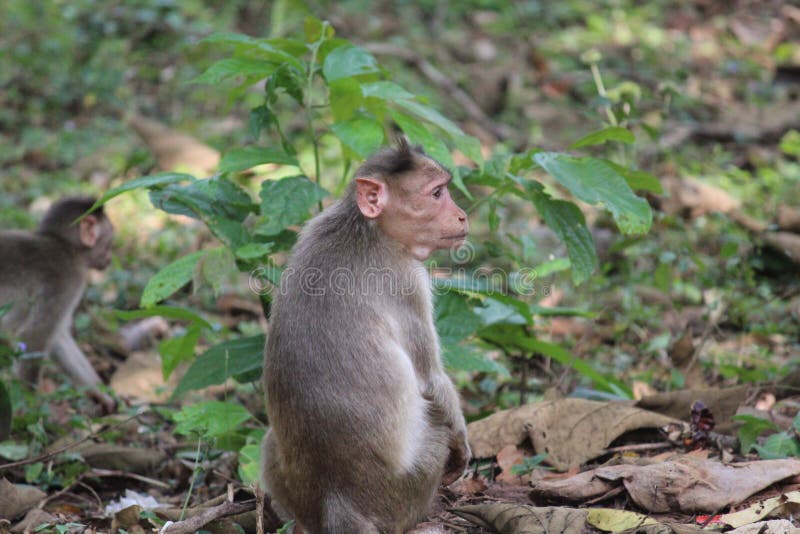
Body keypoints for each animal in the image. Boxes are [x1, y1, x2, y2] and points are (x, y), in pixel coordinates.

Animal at [0, 196, 114, 409]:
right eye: (110, 243)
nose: (109, 259)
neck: (65, 246)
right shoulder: (67, 282)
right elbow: (36, 336)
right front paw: (28, 409)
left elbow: (60, 339)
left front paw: (101, 393)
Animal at [261, 139, 471, 533]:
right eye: (437, 193)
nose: (463, 215)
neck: (368, 228)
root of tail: (337, 499)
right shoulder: (409, 282)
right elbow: (430, 379)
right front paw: (463, 447)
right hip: (404, 489)